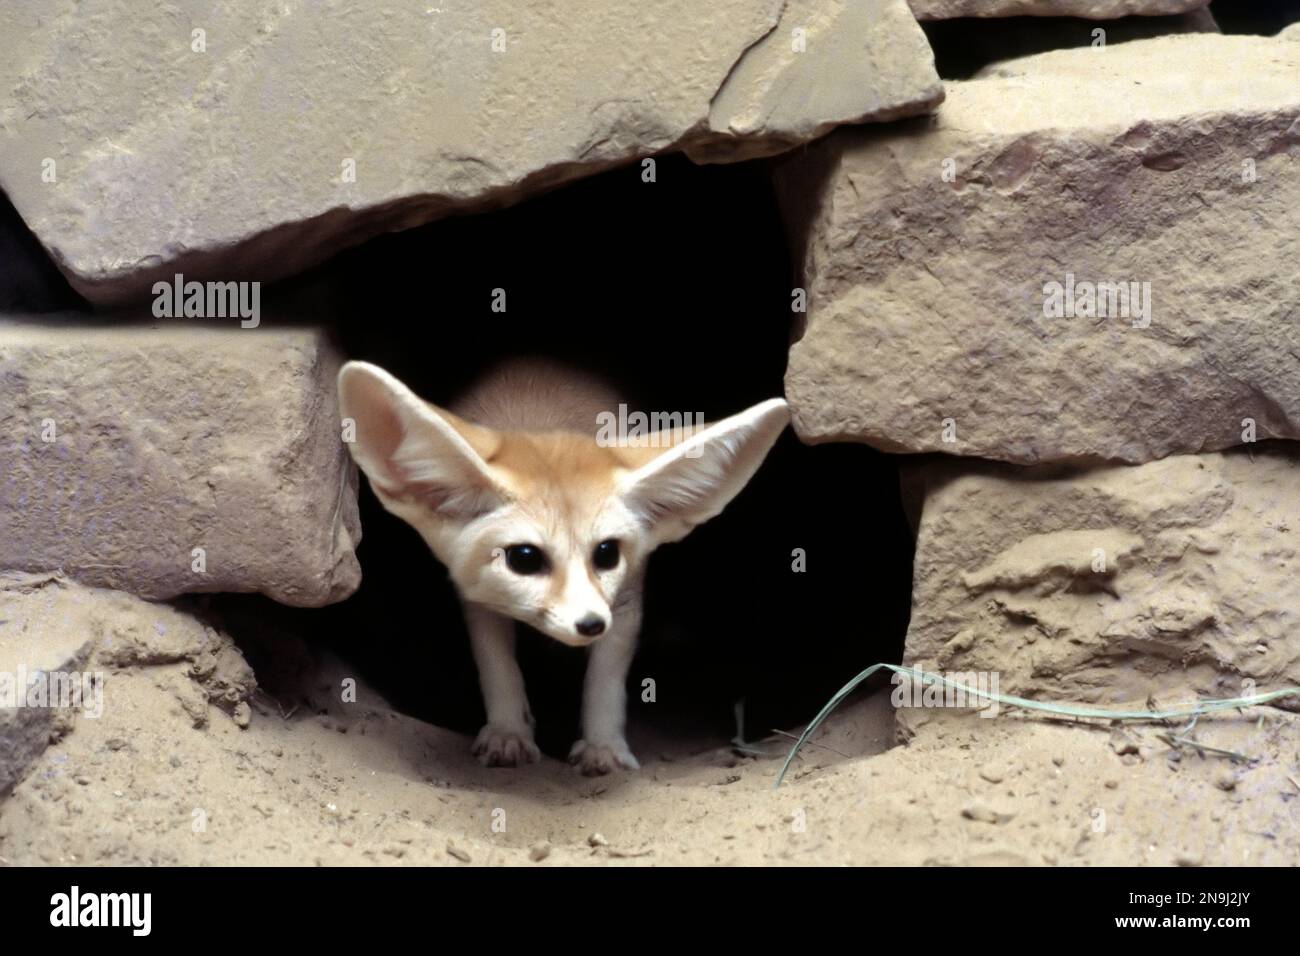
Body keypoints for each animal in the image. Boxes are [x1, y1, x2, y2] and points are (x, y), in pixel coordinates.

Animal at [336, 358, 789, 775]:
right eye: (524, 558)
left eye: (607, 553)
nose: (590, 624)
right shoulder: (479, 598)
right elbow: (497, 665)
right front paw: (508, 732)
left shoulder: (624, 600)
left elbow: (605, 678)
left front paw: (603, 746)